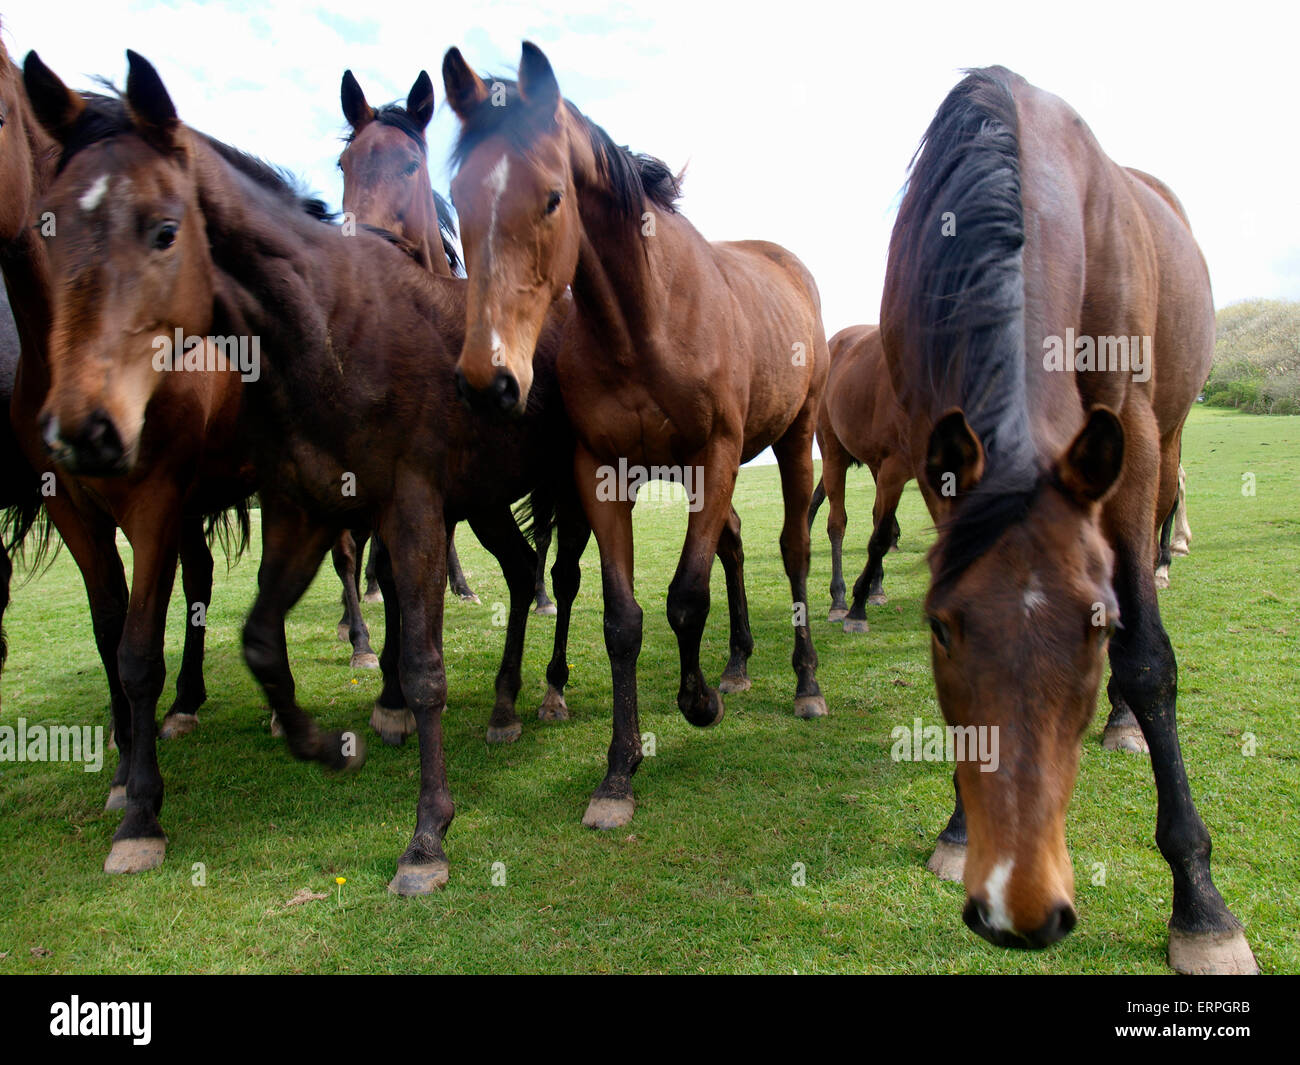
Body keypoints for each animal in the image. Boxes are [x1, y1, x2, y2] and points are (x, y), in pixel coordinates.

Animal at [442, 41, 829, 832]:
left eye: (552, 197)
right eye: (458, 199)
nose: (488, 380)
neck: (645, 317)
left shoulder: (715, 455)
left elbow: (685, 595)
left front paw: (697, 702)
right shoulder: (601, 471)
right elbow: (623, 620)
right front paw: (619, 772)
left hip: (793, 439)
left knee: (792, 549)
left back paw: (803, 683)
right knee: (735, 544)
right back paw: (736, 664)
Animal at [807, 323, 937, 632]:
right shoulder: (895, 468)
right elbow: (879, 537)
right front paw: (856, 609)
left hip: (877, 467)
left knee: (878, 518)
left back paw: (876, 588)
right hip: (834, 455)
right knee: (837, 523)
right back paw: (839, 600)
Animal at [880, 66, 1254, 973]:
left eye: (1096, 624)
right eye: (941, 626)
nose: (1017, 908)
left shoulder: (1132, 436)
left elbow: (1148, 659)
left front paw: (1202, 906)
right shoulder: (930, 441)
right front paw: (958, 827)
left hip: (1167, 436)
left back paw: (1122, 722)